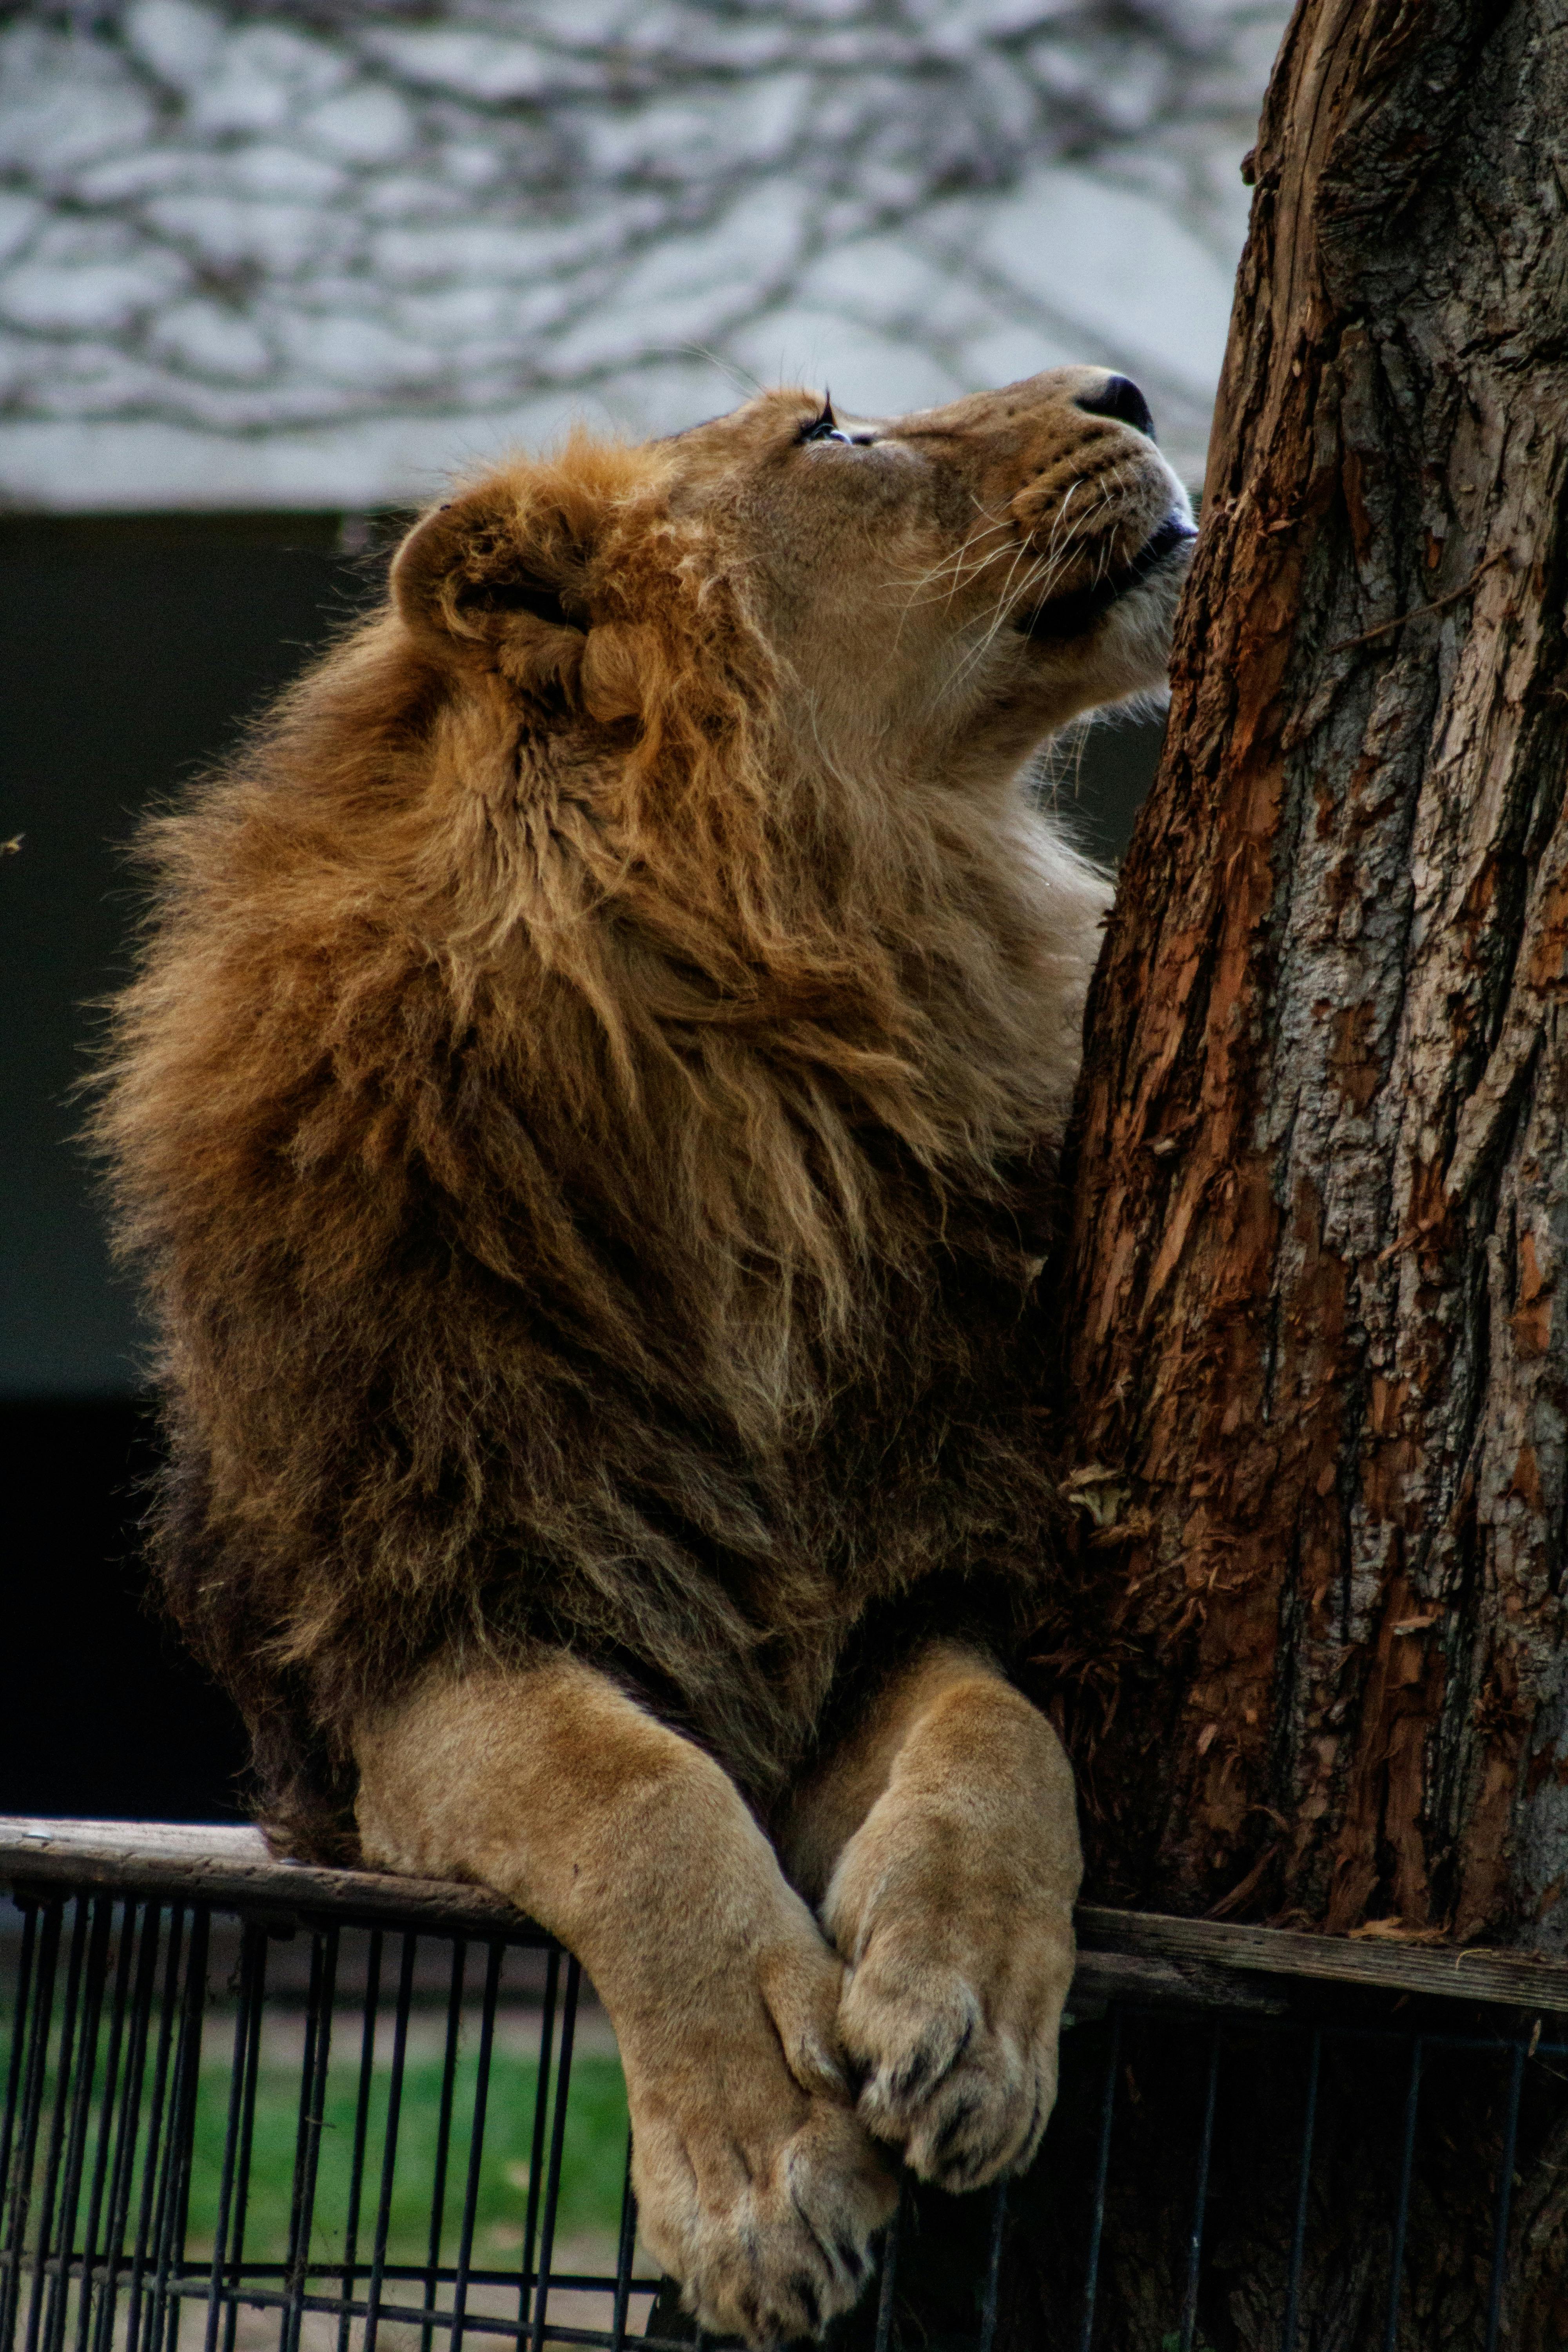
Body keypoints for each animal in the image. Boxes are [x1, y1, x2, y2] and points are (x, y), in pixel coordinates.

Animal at [98, 368, 1193, 2344]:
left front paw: (969, 2015)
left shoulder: (880, 1559)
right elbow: (637, 1800)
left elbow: (996, 1735)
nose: (1128, 388)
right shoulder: (396, 1637)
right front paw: (764, 2172)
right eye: (829, 434)